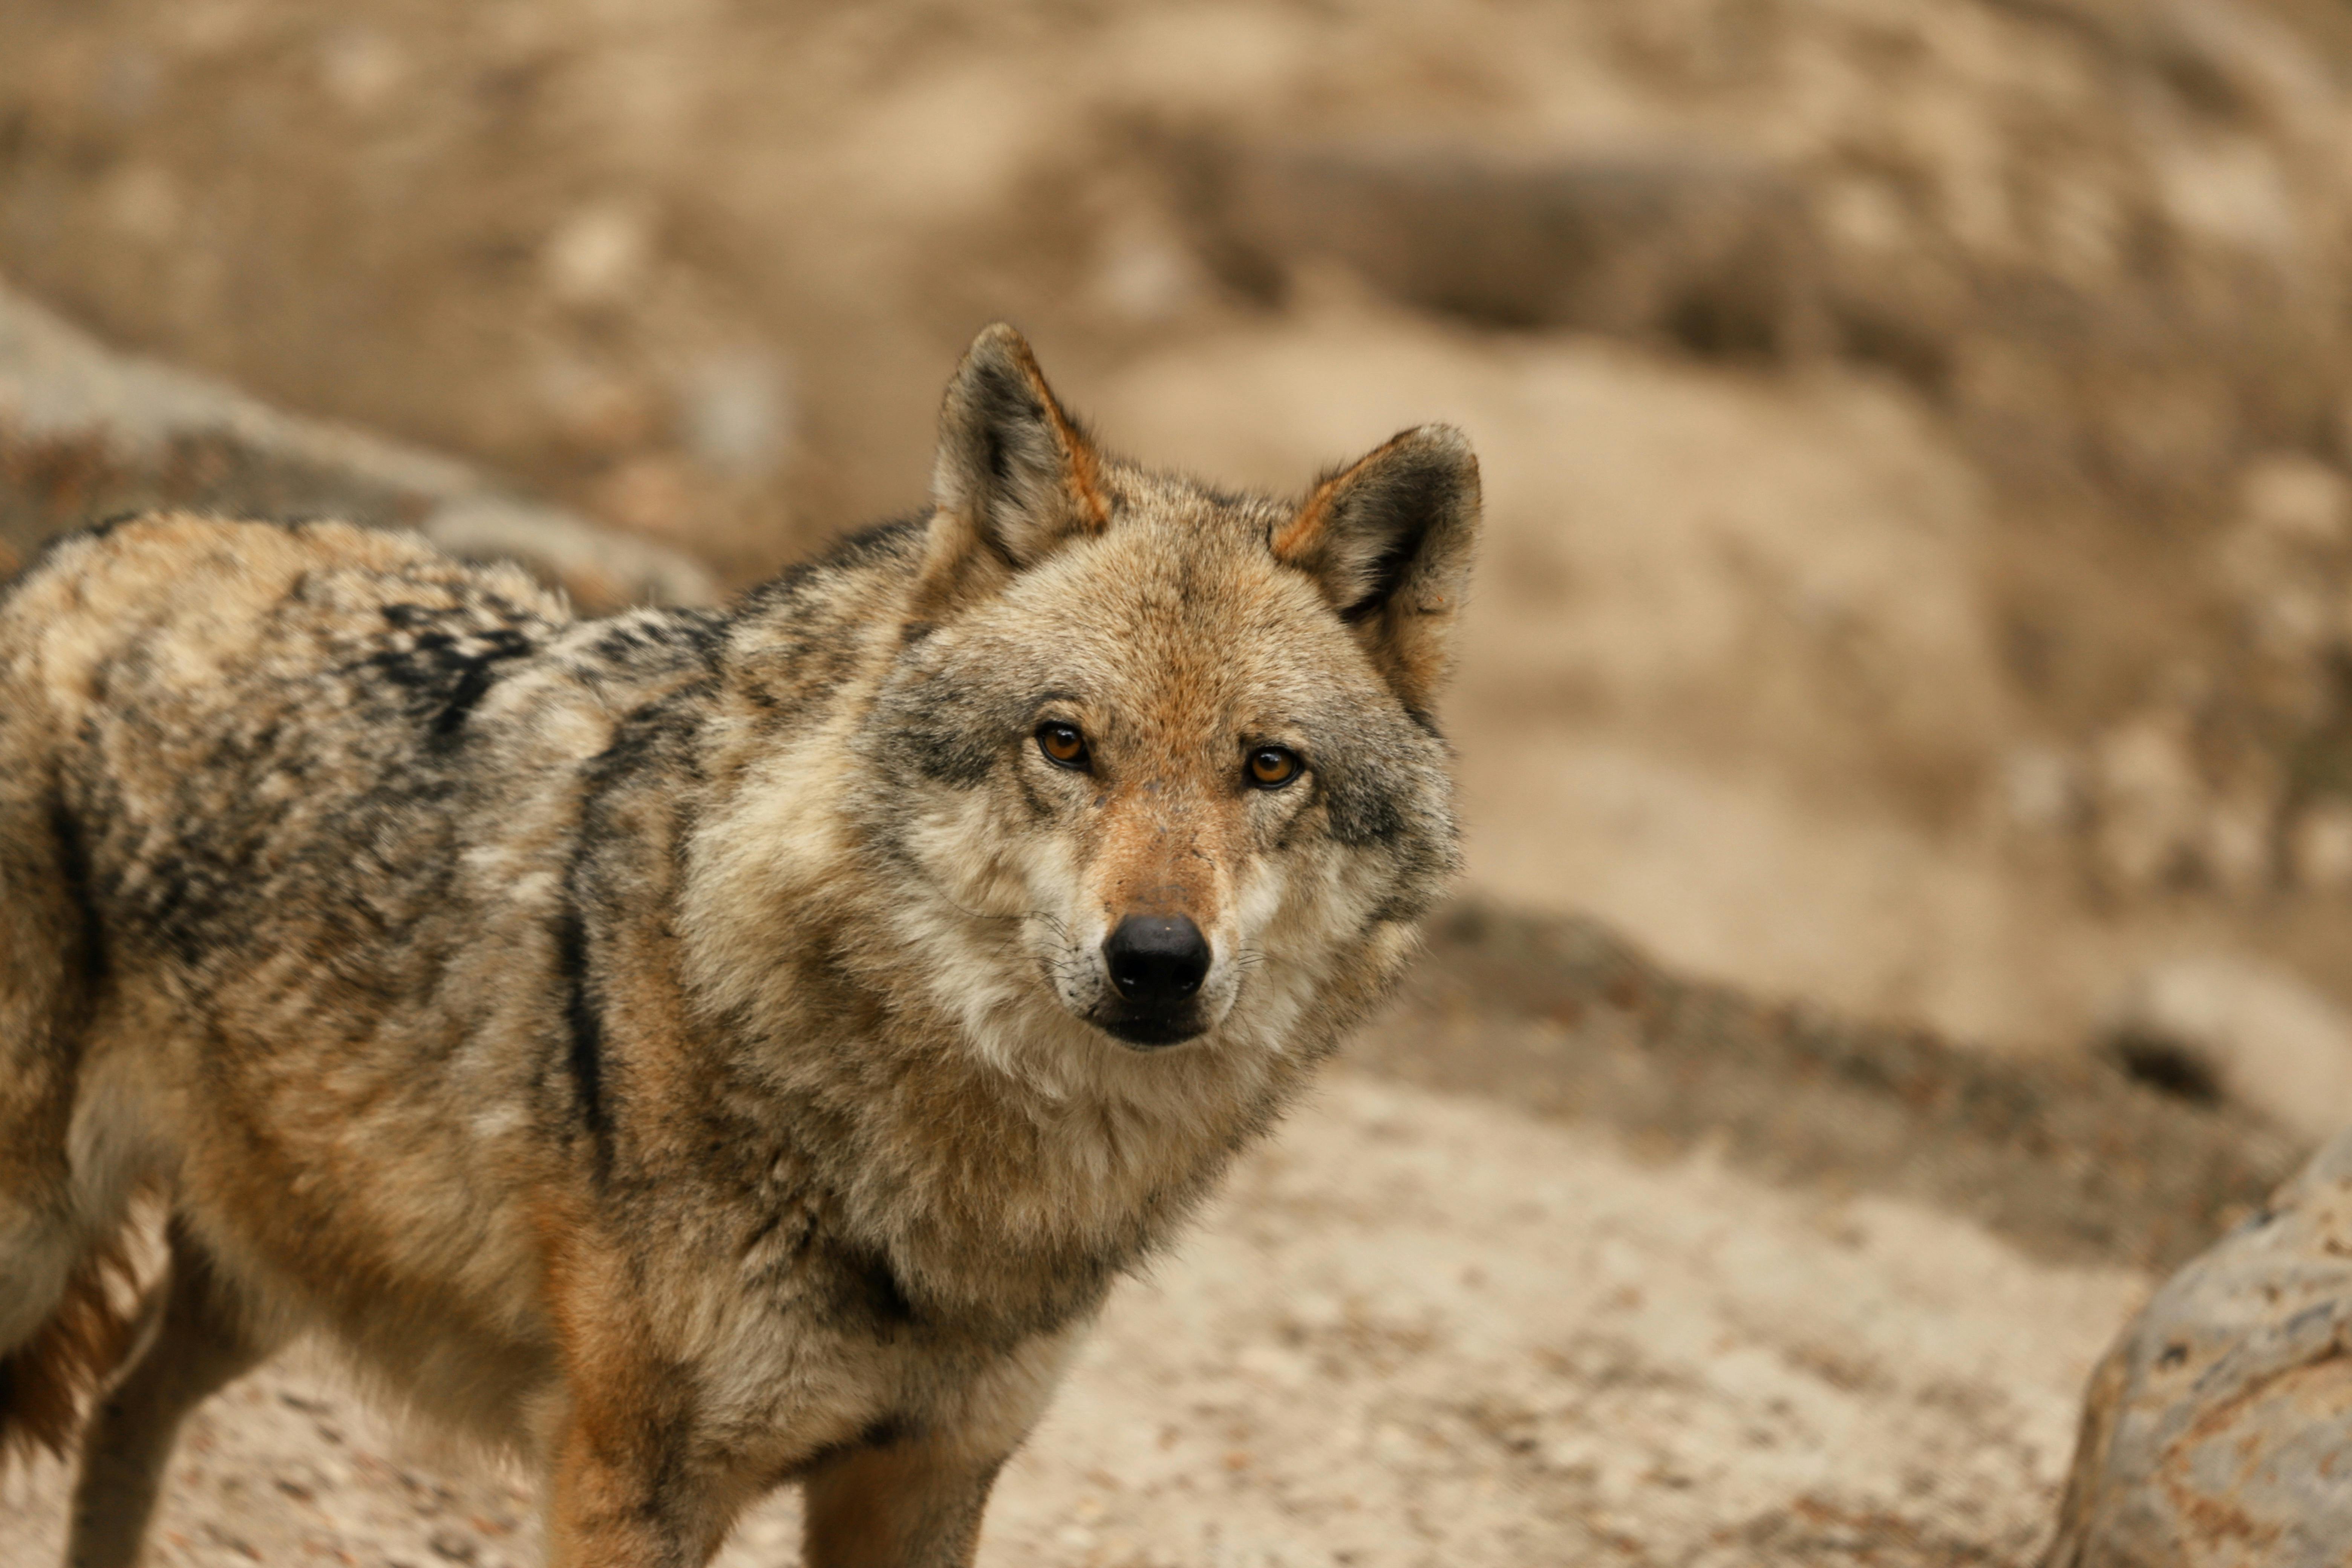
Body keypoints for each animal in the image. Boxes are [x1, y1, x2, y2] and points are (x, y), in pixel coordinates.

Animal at [0, 324, 1478, 1566]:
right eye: (1064, 742)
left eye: (1269, 768)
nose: (1160, 958)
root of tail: (75, 549)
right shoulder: (632, 1477)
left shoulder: (930, 1476)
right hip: (48, 1253)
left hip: (276, 1271)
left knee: (123, 1400)